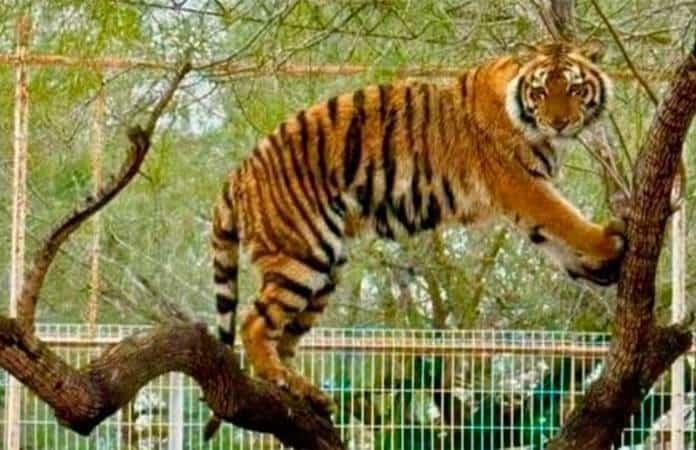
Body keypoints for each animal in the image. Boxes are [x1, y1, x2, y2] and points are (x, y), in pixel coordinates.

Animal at [209, 41, 625, 411]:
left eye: (575, 89)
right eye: (540, 92)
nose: (559, 122)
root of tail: (238, 172)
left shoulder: (523, 200)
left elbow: (553, 239)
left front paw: (597, 266)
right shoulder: (520, 184)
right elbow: (565, 218)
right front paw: (609, 242)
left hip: (326, 269)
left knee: (283, 337)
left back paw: (305, 392)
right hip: (303, 255)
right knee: (253, 324)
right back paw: (281, 379)